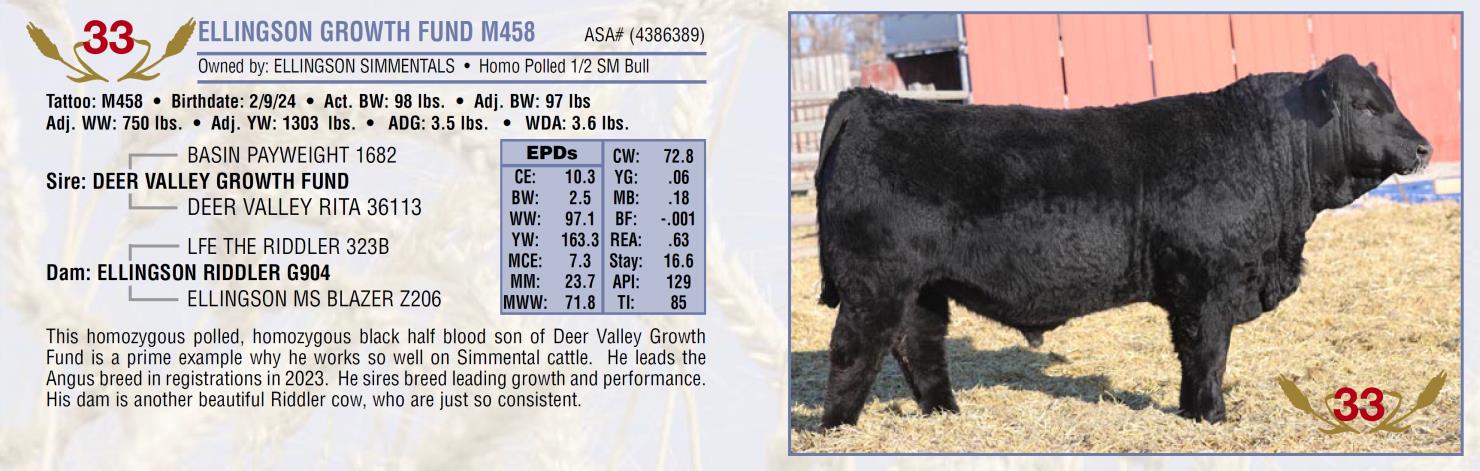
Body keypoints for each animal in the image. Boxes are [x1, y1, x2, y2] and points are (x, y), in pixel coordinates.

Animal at [812, 54, 1430, 429]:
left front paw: (1189, 413)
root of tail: (874, 101)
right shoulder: (1209, 283)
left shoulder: (1190, 292)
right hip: (876, 284)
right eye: (1367, 106)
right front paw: (1212, 417)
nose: (1424, 147)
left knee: (919, 345)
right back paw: (838, 429)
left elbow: (1190, 355)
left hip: (923, 287)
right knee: (853, 349)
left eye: (1393, 98)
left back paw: (945, 413)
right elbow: (1209, 353)